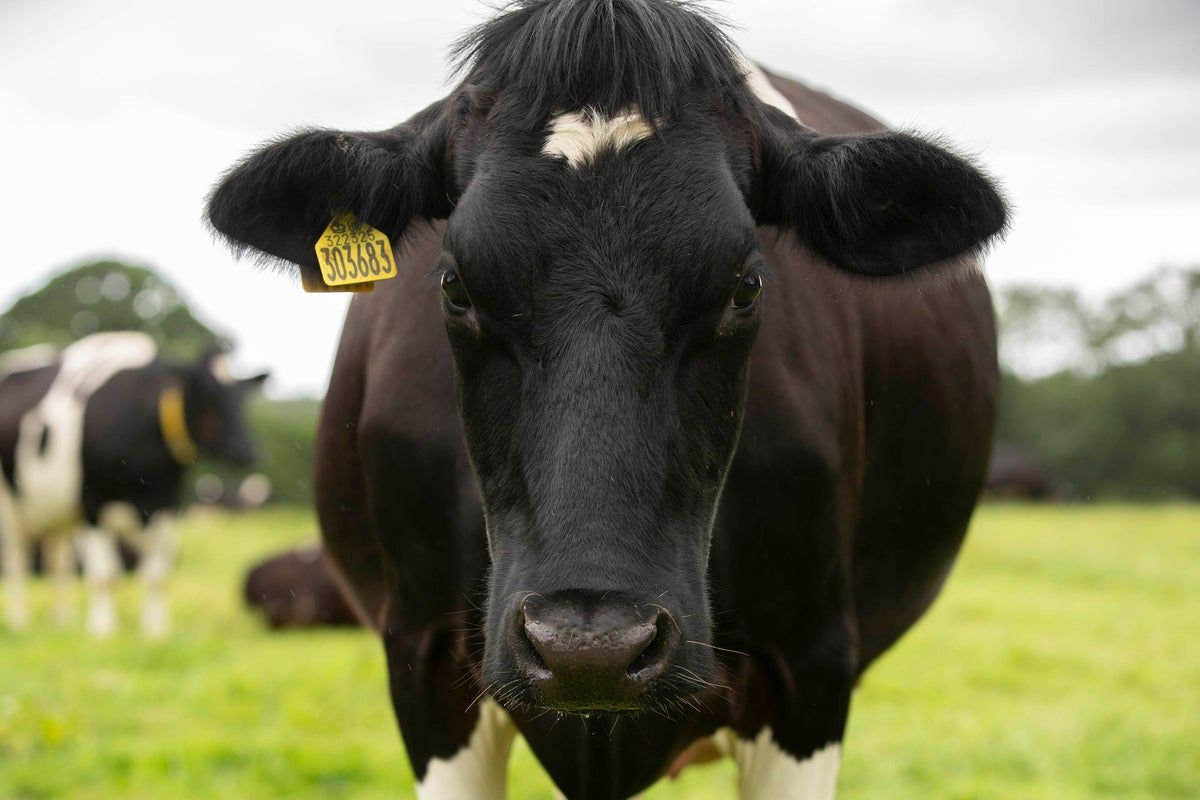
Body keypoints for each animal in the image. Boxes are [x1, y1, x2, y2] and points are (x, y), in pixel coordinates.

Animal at [0, 332, 267, 636]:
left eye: (241, 399)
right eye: (210, 395)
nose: (247, 452)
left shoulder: (165, 505)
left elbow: (157, 575)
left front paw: (156, 629)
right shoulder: (92, 503)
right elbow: (104, 574)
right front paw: (103, 628)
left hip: (56, 512)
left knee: (59, 561)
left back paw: (62, 620)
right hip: (11, 507)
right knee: (17, 560)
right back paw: (19, 619)